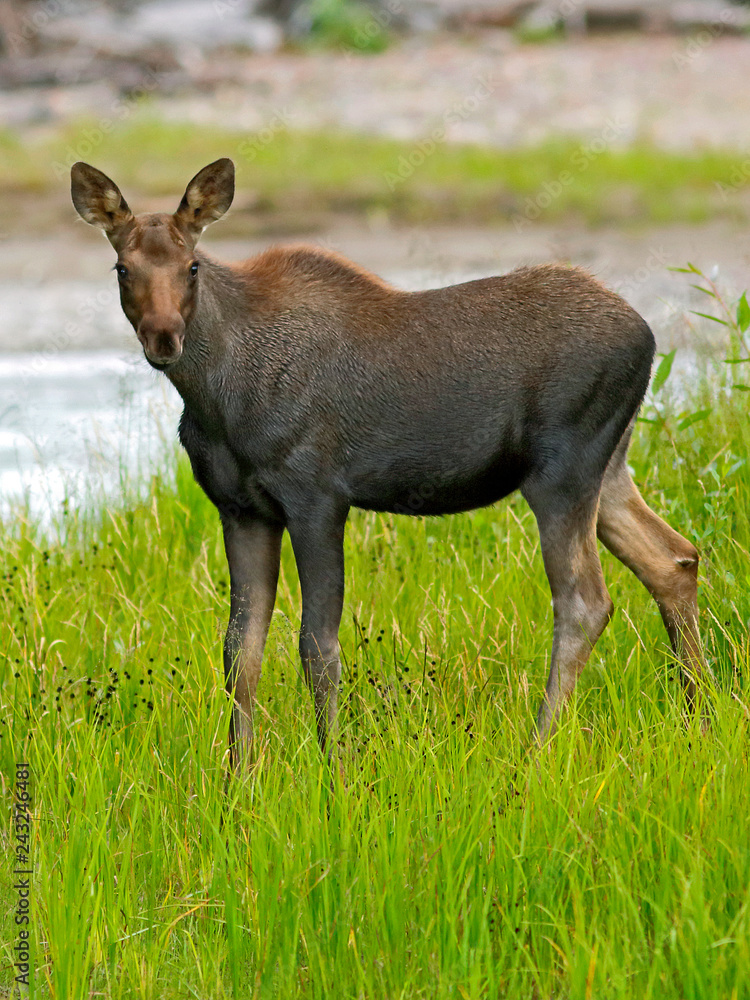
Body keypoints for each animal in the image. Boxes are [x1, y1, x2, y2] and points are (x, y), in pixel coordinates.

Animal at [70, 157, 704, 768]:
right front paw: (238, 779)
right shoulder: (241, 508)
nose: (164, 338)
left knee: (584, 601)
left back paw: (537, 748)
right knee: (673, 558)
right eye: (122, 268)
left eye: (192, 265)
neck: (216, 396)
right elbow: (239, 650)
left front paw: (335, 771)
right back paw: (697, 711)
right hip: (609, 467)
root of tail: (648, 337)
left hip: (562, 470)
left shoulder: (317, 497)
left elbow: (316, 645)